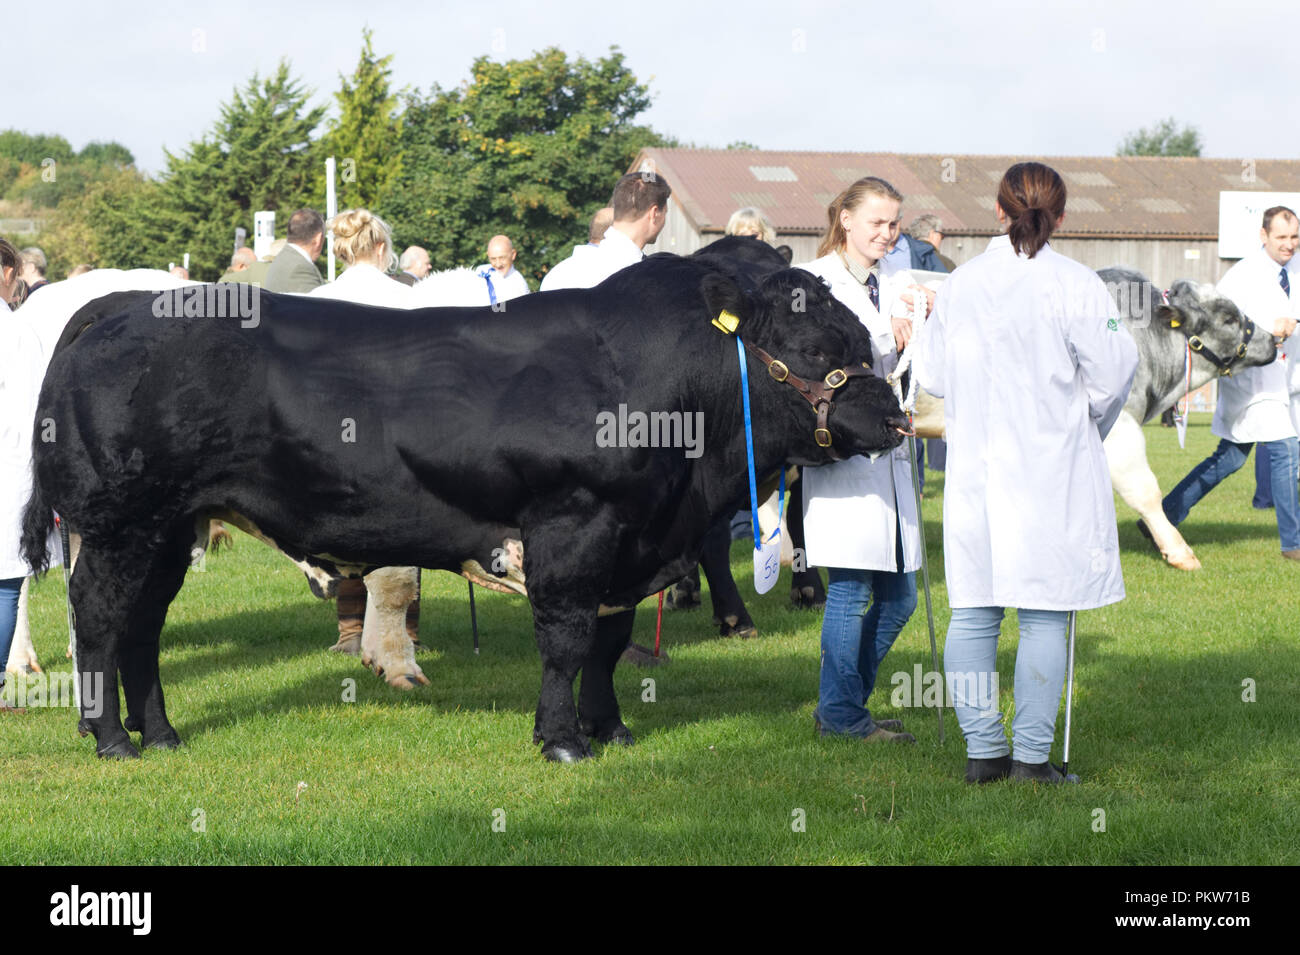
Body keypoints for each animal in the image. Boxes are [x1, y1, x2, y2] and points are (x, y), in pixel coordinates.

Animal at [22, 255, 909, 762]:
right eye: (817, 348)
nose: (897, 419)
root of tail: (122, 305)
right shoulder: (574, 525)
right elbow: (568, 640)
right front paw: (563, 741)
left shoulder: (631, 542)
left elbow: (608, 641)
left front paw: (611, 728)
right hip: (120, 524)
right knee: (100, 619)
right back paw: (112, 740)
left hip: (171, 525)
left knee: (142, 626)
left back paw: (163, 734)